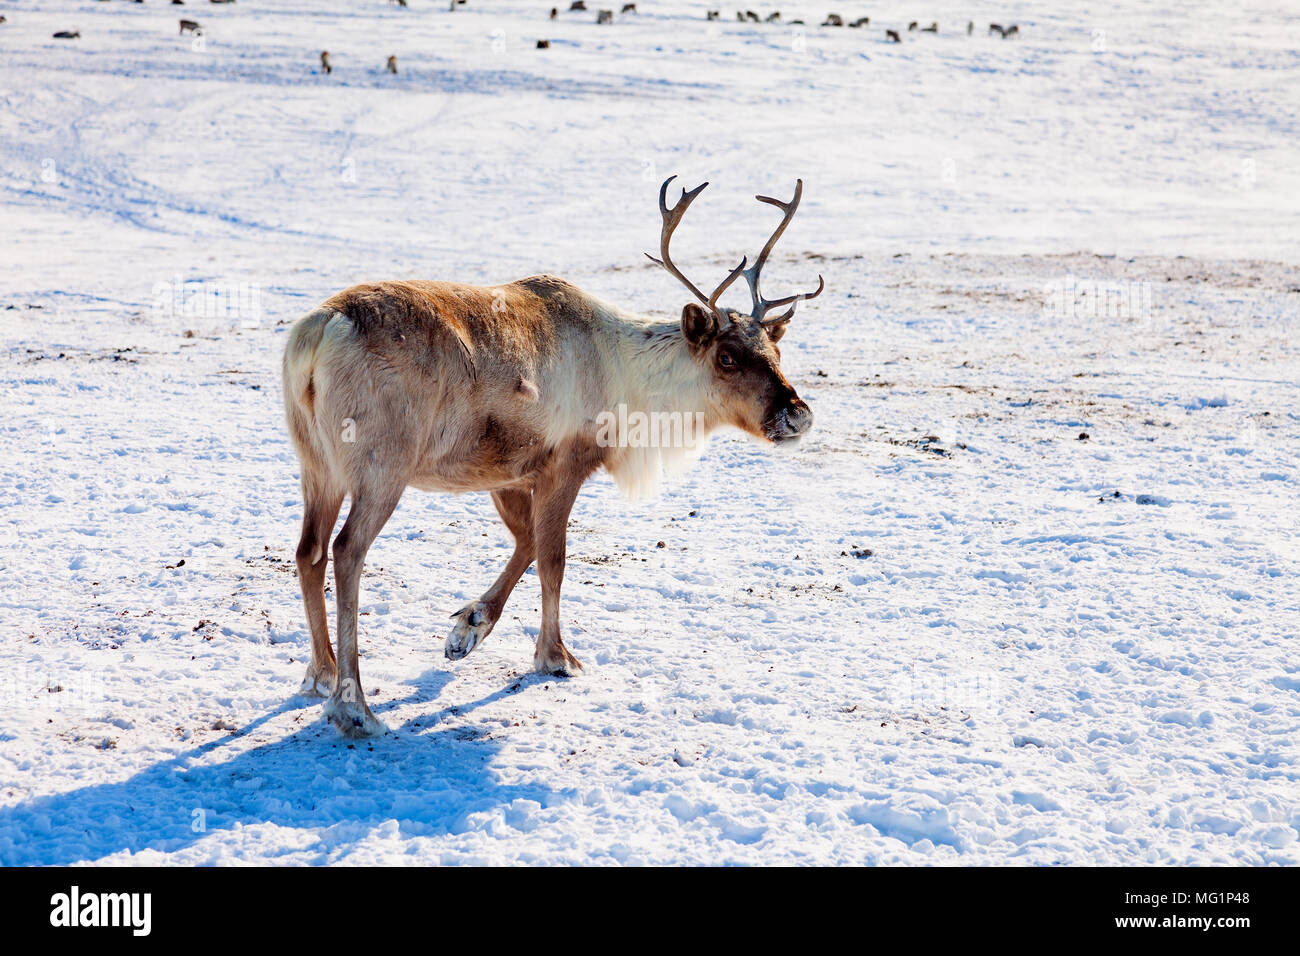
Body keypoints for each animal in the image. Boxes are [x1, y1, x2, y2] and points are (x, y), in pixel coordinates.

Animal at [282, 177, 823, 738]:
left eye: (777, 352)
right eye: (727, 357)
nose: (798, 415)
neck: (631, 383)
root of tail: (318, 332)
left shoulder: (508, 472)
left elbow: (526, 543)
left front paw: (468, 628)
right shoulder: (565, 463)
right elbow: (553, 560)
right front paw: (556, 656)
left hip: (316, 464)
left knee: (308, 551)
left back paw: (320, 674)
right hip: (382, 465)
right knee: (347, 550)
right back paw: (353, 706)